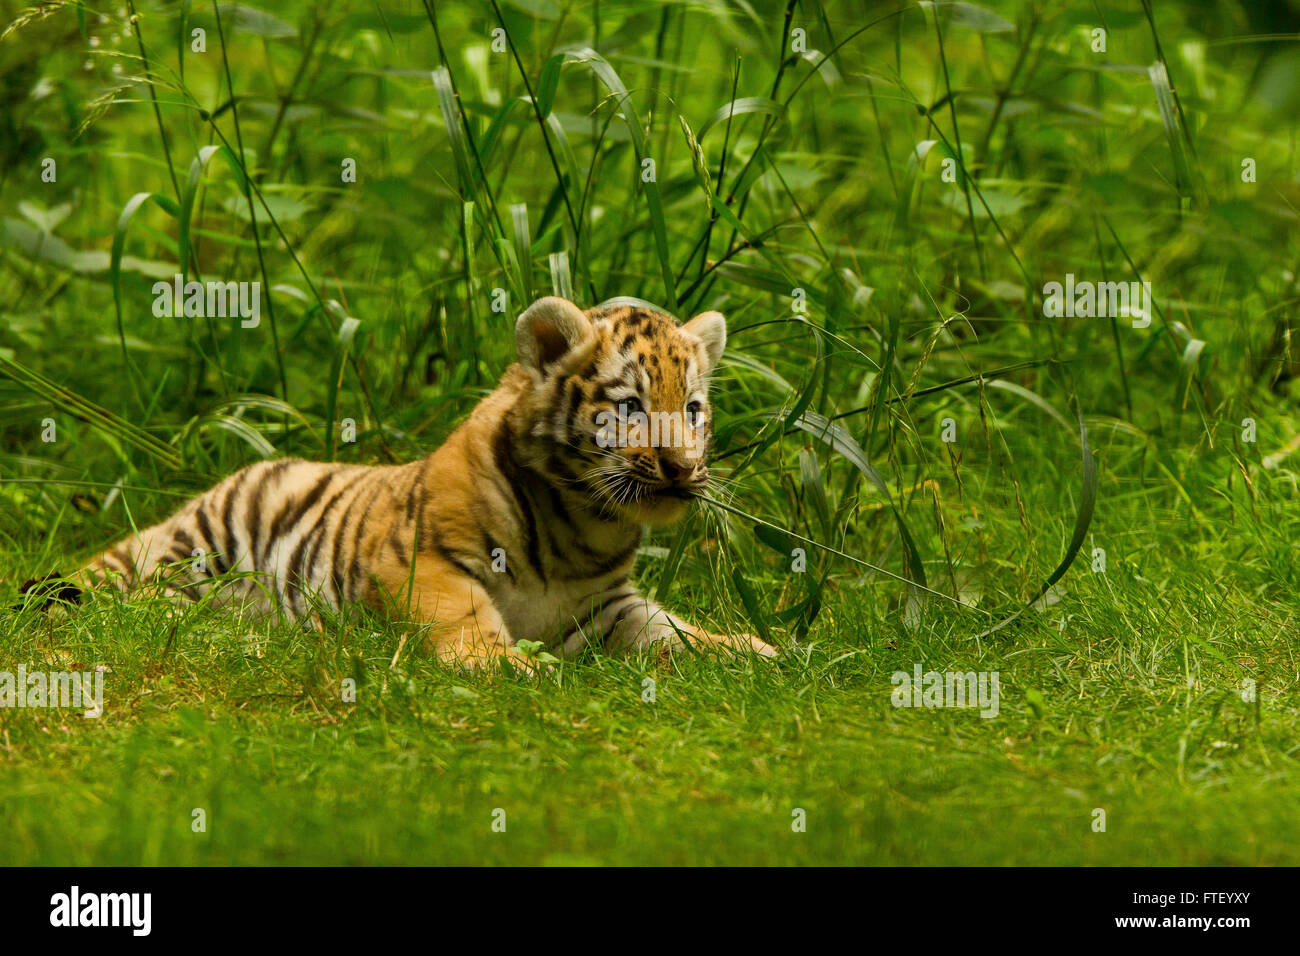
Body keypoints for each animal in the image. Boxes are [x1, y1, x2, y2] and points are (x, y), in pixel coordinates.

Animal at [39, 296, 778, 666]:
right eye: (629, 407)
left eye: (692, 409)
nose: (682, 468)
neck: (584, 523)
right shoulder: (419, 559)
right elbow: (464, 616)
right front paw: (505, 666)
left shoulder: (606, 607)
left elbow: (676, 630)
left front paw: (758, 650)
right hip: (201, 547)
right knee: (139, 606)